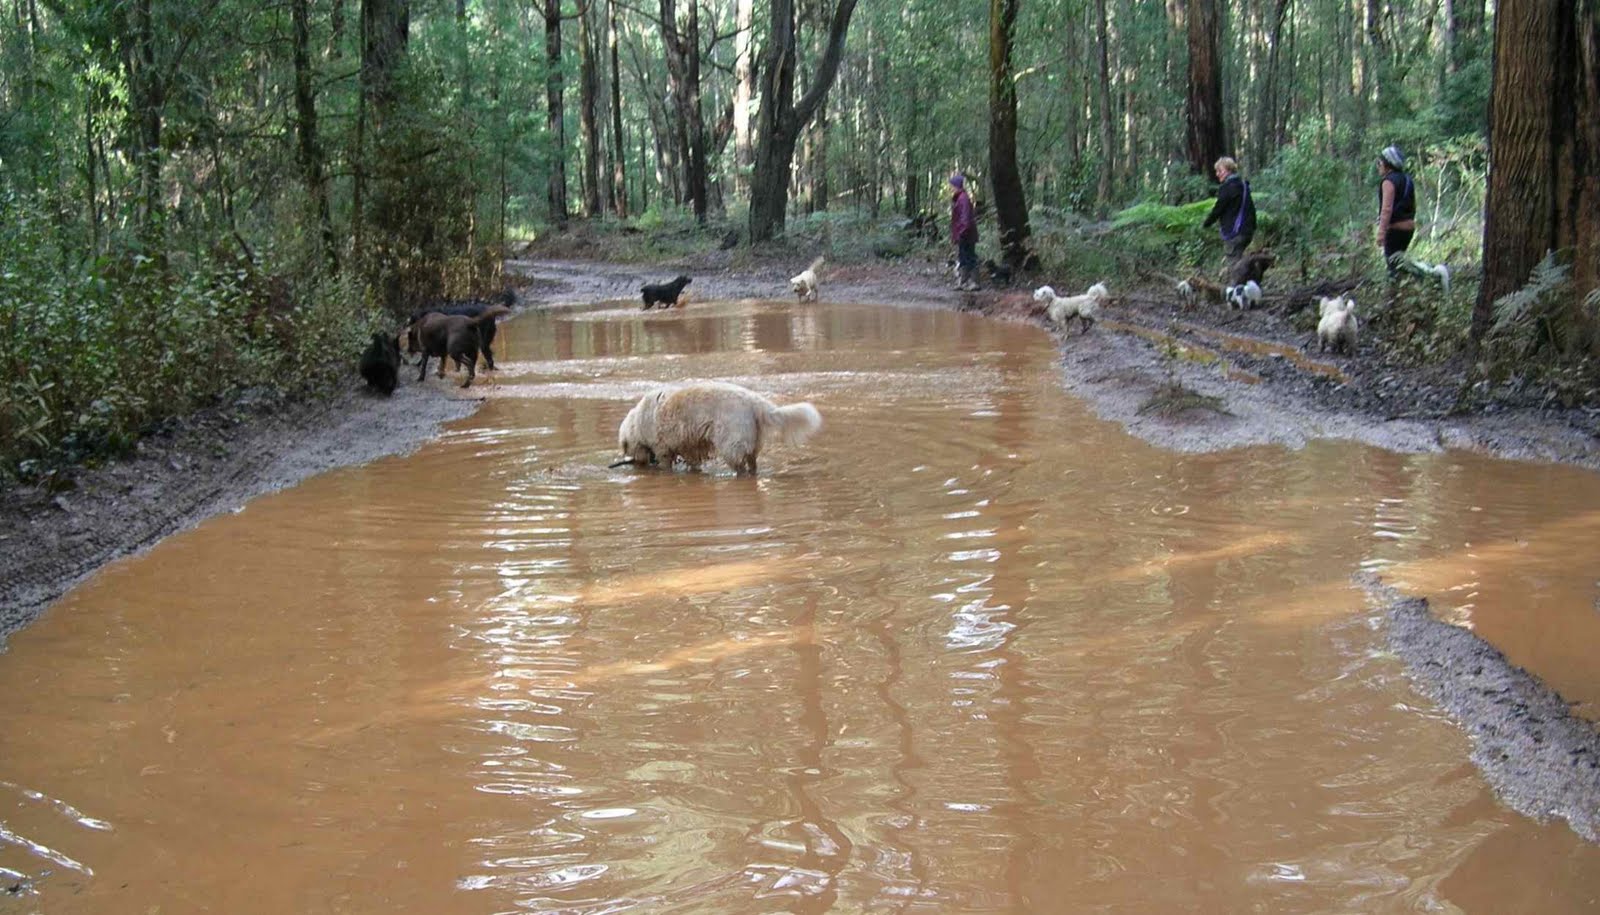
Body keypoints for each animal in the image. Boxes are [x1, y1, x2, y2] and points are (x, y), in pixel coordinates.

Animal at [608, 380, 819, 476]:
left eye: (627, 449)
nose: (636, 463)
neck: (638, 423)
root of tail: (754, 401)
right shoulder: (689, 447)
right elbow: (693, 463)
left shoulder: (663, 449)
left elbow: (666, 464)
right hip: (751, 443)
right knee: (752, 464)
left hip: (731, 444)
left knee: (740, 468)